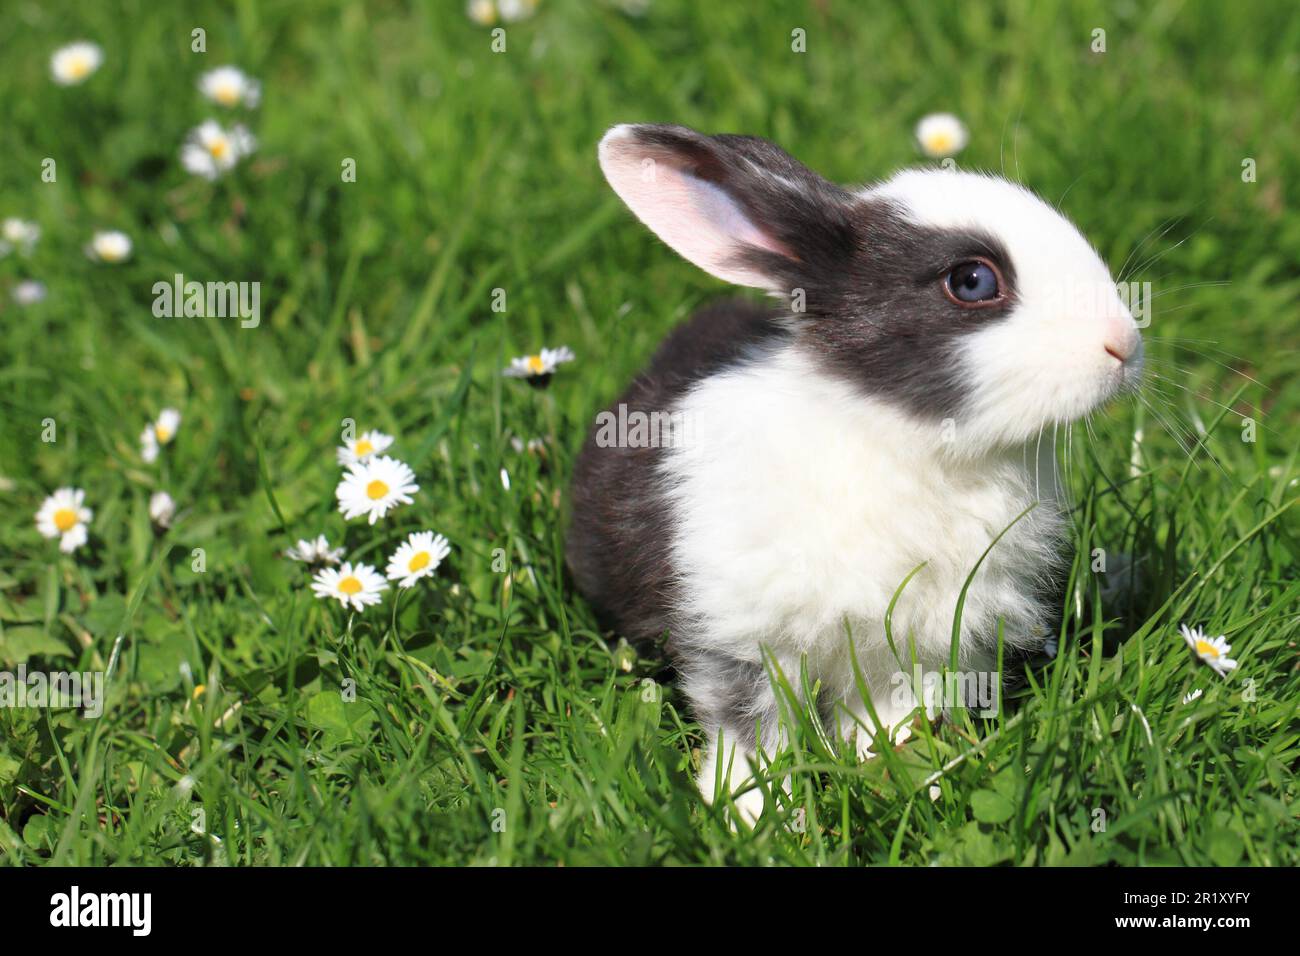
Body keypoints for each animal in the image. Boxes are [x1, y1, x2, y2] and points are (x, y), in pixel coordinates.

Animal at [567, 123, 1143, 823]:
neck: (908, 441)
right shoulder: (741, 637)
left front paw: (902, 776)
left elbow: (896, 719)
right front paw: (755, 817)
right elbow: (750, 731)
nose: (1124, 344)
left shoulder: (925, 648)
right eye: (972, 281)